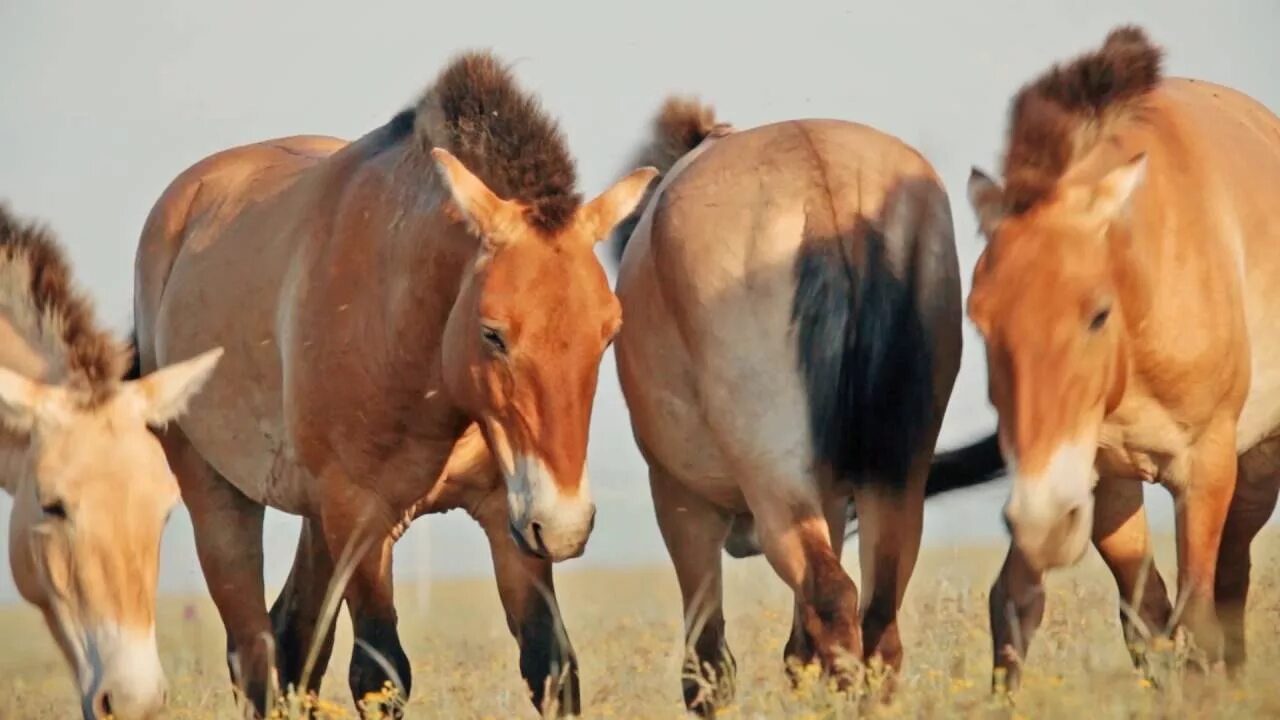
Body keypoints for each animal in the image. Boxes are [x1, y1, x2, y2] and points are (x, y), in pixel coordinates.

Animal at [129, 50, 655, 712]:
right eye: (493, 334)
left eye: (609, 331)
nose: (563, 526)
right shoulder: (361, 518)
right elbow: (379, 675)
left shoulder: (506, 516)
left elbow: (552, 665)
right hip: (218, 496)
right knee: (255, 655)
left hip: (318, 522)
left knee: (293, 641)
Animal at [614, 99, 1003, 712]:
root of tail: (825, 181)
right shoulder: (836, 499)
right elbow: (797, 653)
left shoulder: (682, 503)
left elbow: (708, 664)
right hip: (892, 483)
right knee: (877, 625)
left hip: (774, 487)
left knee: (832, 601)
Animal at [962, 26, 1280, 691]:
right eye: (978, 320)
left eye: (1098, 314)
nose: (1042, 522)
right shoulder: (1098, 477)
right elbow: (1128, 616)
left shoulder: (1206, 468)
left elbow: (1196, 620)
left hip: (1259, 466)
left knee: (1231, 584)